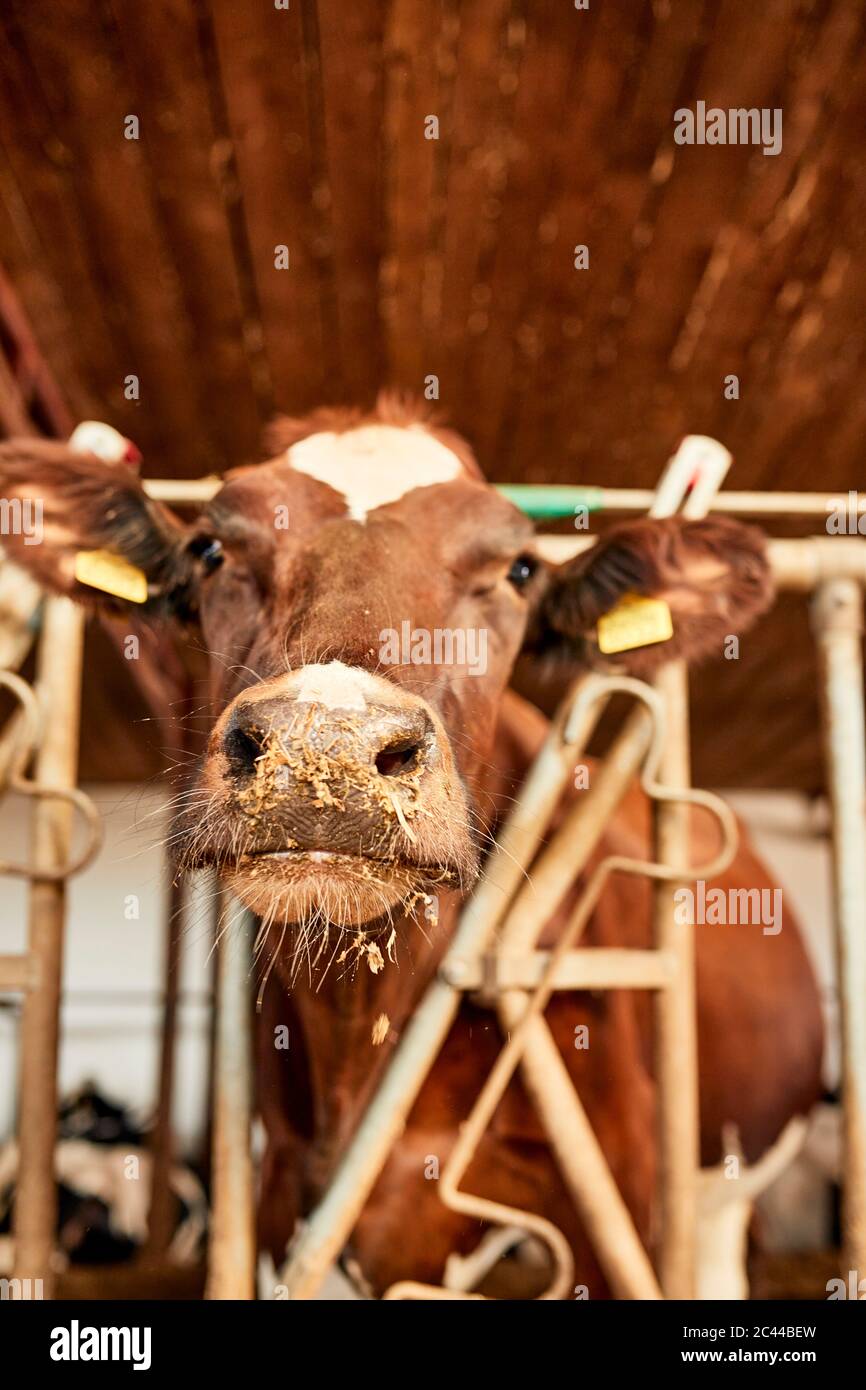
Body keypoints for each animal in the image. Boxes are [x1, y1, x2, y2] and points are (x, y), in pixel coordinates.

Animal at [0, 396, 824, 1298]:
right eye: (213, 549)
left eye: (519, 571)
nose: (325, 747)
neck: (362, 1034)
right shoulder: (291, 1199)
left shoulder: (620, 1195)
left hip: (722, 1189)